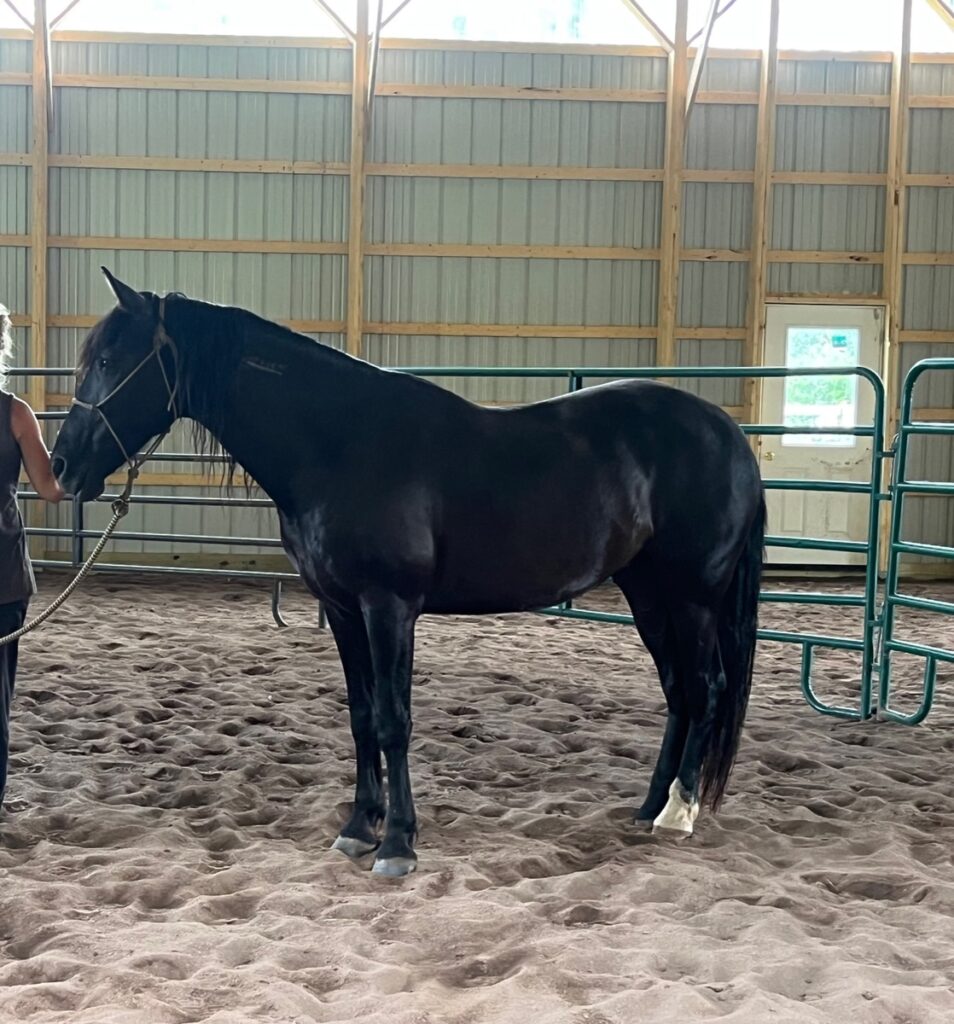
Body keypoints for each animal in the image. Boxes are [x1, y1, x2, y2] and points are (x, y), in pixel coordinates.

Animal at [51, 267, 766, 878]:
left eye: (110, 362)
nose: (61, 465)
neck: (338, 443)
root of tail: (727, 434)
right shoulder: (343, 609)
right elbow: (362, 716)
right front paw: (357, 828)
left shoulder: (388, 606)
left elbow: (394, 720)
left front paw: (396, 843)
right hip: (649, 593)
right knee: (678, 692)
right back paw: (648, 807)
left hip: (693, 598)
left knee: (704, 688)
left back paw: (678, 813)